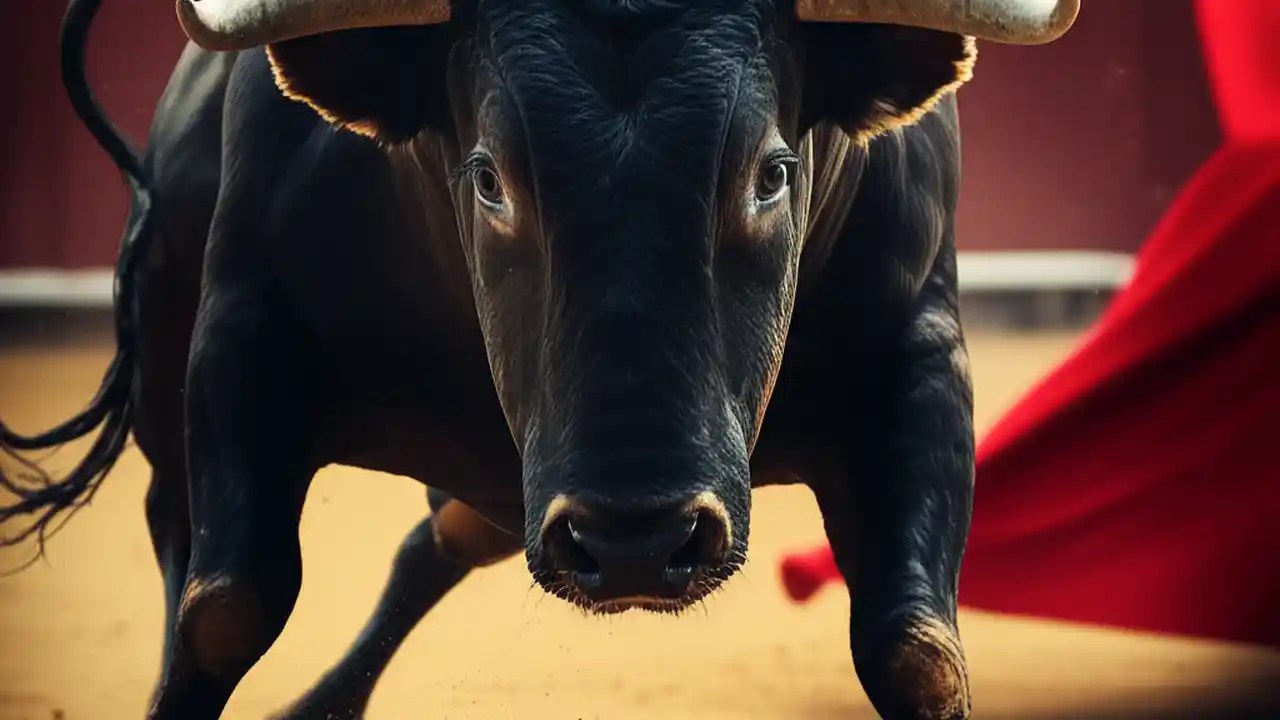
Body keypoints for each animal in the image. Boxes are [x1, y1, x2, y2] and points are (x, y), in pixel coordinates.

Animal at [0, 0, 1078, 717]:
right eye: (490, 178)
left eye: (770, 173)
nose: (638, 539)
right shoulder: (244, 332)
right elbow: (223, 609)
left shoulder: (915, 357)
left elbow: (917, 652)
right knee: (180, 531)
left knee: (440, 538)